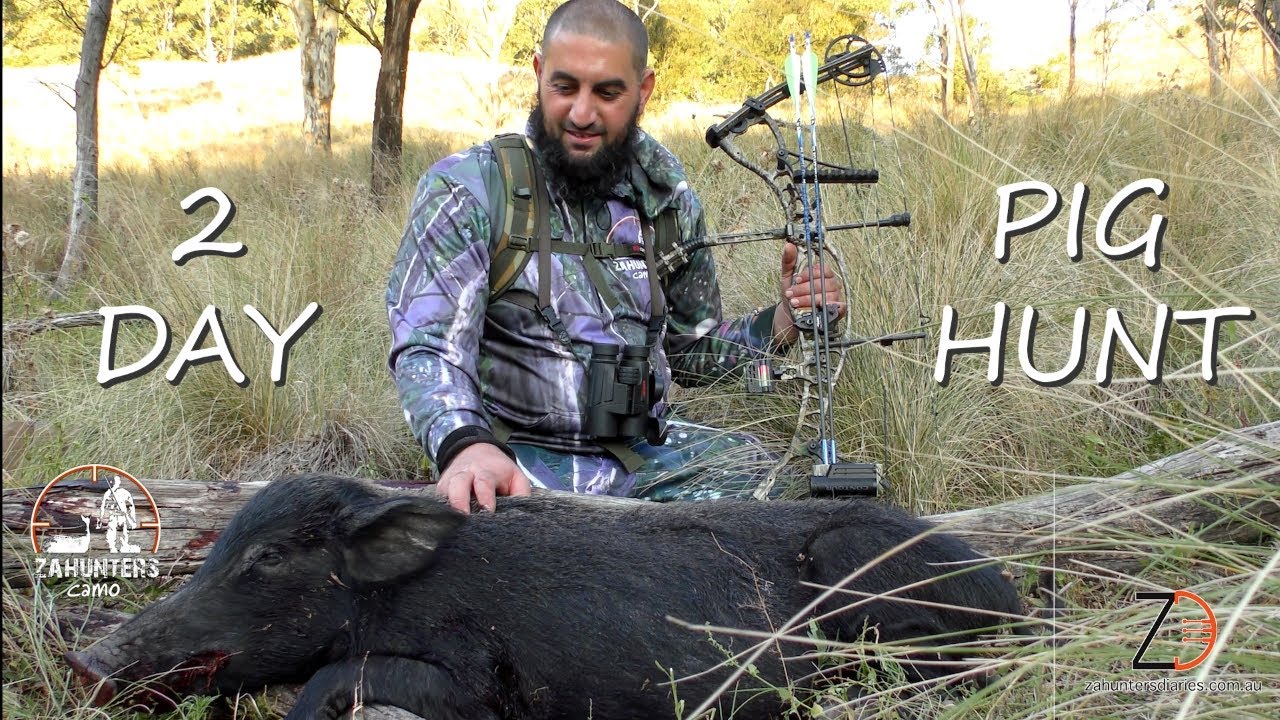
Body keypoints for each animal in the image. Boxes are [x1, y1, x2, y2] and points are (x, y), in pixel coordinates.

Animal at [66, 473, 1024, 719]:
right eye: (215, 549)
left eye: (265, 558)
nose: (86, 657)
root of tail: (1014, 598)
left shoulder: (478, 672)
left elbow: (342, 680)